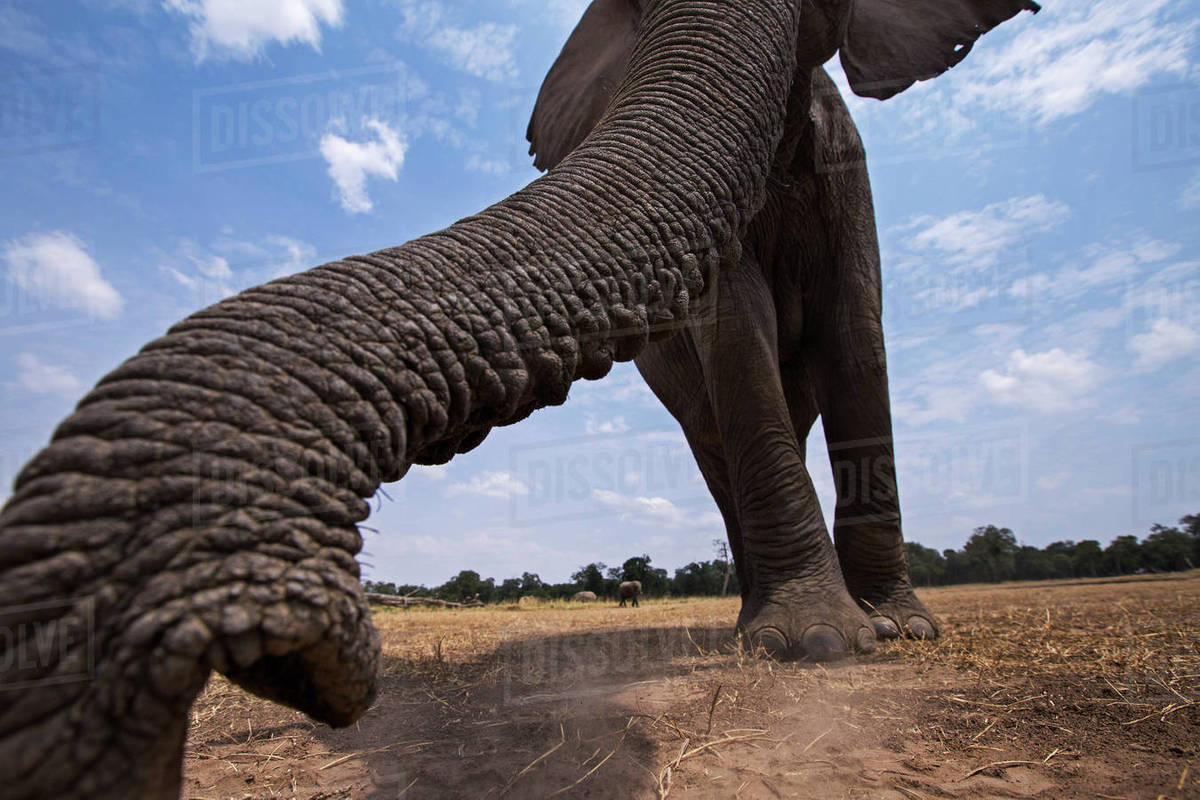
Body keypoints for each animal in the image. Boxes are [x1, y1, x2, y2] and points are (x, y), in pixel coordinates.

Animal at [0, 1, 1038, 797]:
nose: (308, 662)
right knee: (715, 443)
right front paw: (818, 645)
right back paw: (757, 628)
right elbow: (734, 331)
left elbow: (861, 336)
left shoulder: (845, 166)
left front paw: (897, 634)